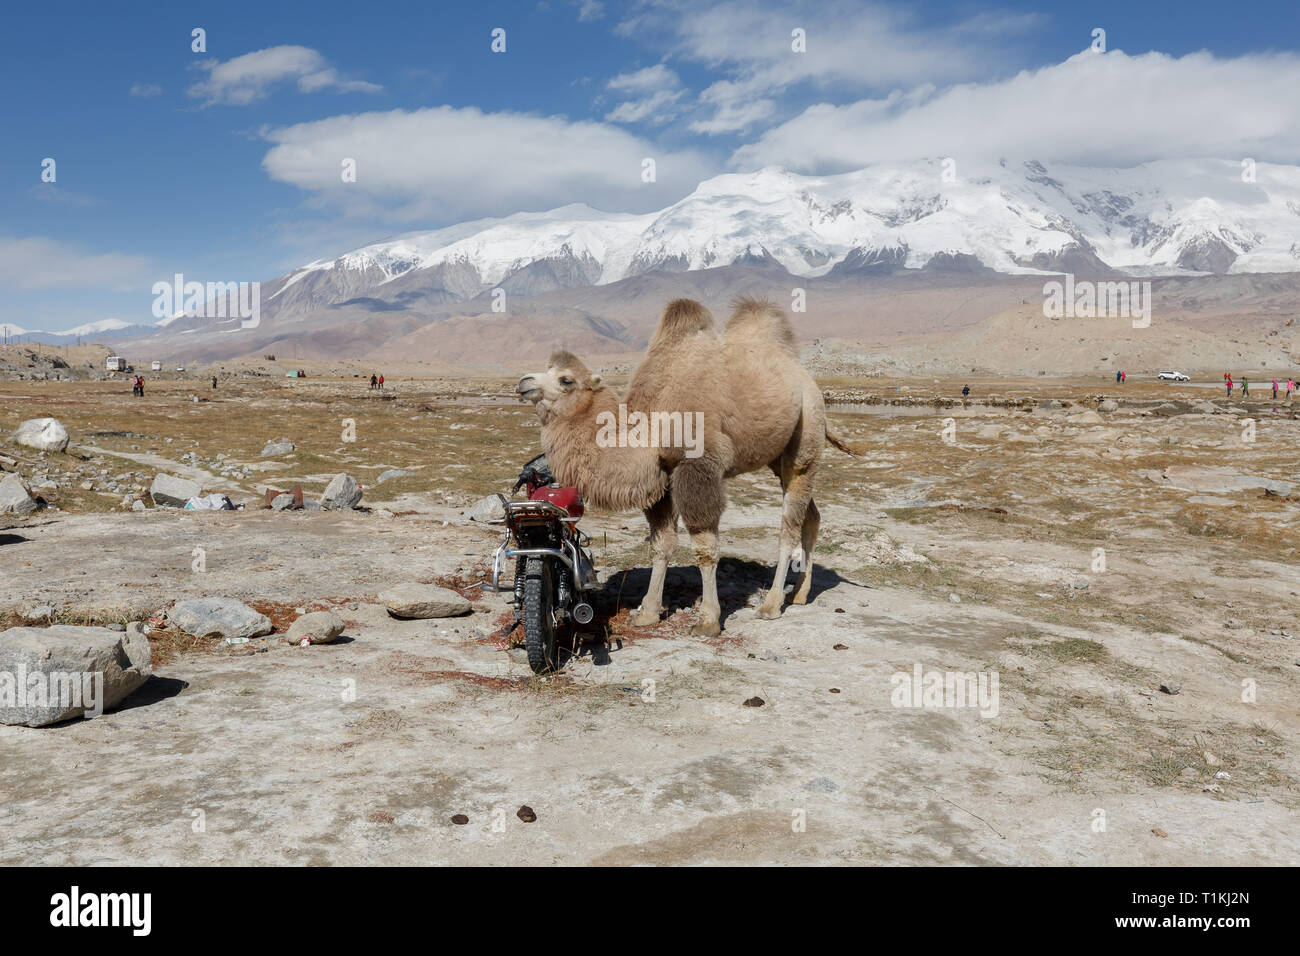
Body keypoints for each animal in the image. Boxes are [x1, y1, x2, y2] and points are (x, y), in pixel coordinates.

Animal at [517, 296, 862, 636]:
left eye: (566, 379)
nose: (524, 381)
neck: (649, 428)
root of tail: (807, 381)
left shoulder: (697, 466)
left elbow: (705, 548)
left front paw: (708, 620)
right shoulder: (662, 476)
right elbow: (662, 545)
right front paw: (648, 613)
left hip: (806, 433)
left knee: (789, 525)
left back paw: (771, 604)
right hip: (779, 454)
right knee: (811, 516)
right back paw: (801, 593)